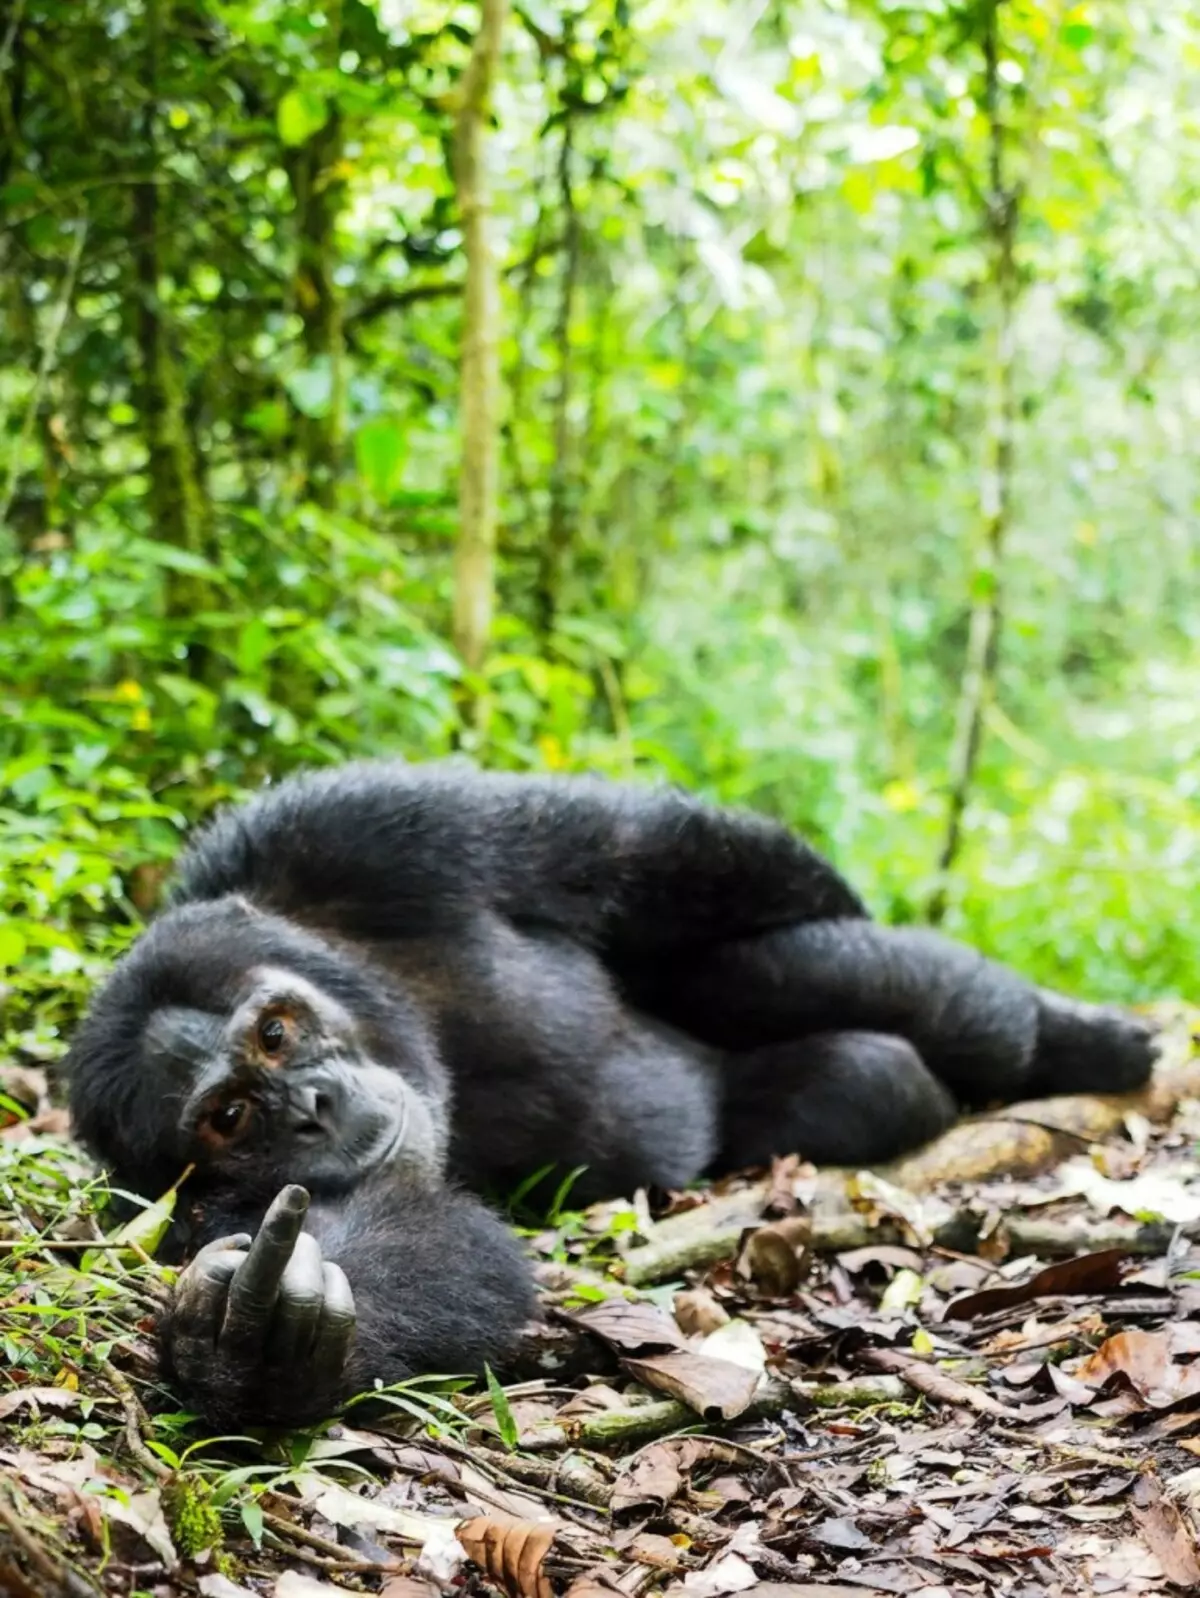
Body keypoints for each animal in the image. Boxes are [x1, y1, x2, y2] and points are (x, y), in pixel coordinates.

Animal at [63, 760, 1156, 1425]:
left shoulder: (357, 830)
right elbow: (420, 1237)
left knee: (783, 968)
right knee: (867, 1076)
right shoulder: (187, 1210)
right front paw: (261, 1340)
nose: (311, 1106)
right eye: (230, 1118)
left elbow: (638, 849)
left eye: (277, 1033)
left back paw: (1077, 1044)